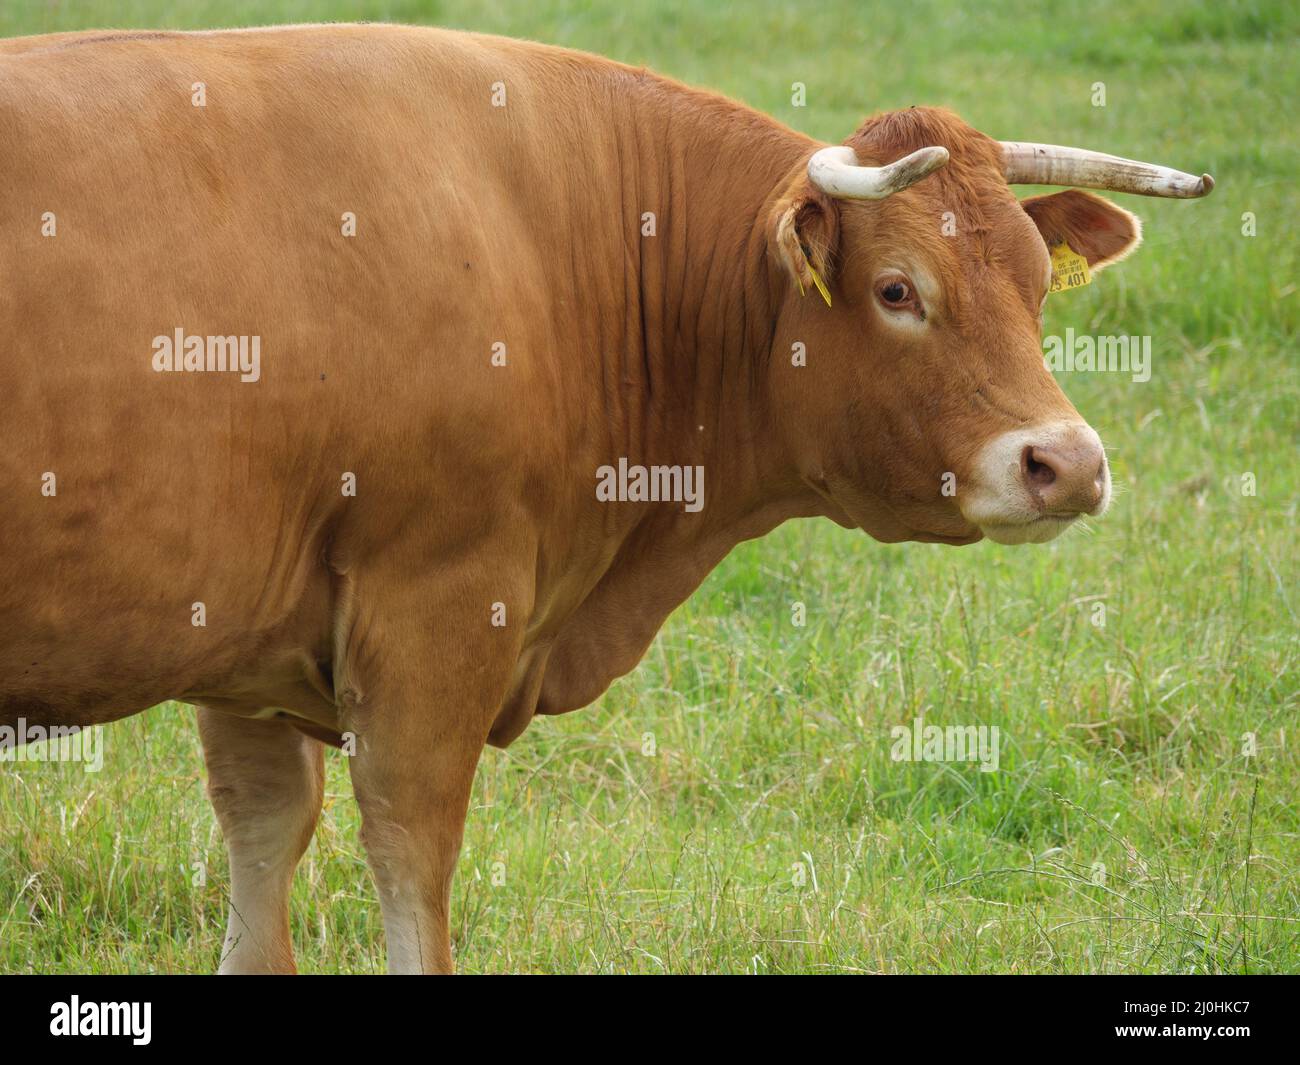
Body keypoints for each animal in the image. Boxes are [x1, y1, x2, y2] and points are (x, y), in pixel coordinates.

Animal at [0, 23, 1212, 973]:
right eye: (897, 290)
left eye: (1039, 285)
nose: (1068, 462)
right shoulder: (437, 612)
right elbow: (409, 863)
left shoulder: (242, 644)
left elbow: (263, 851)